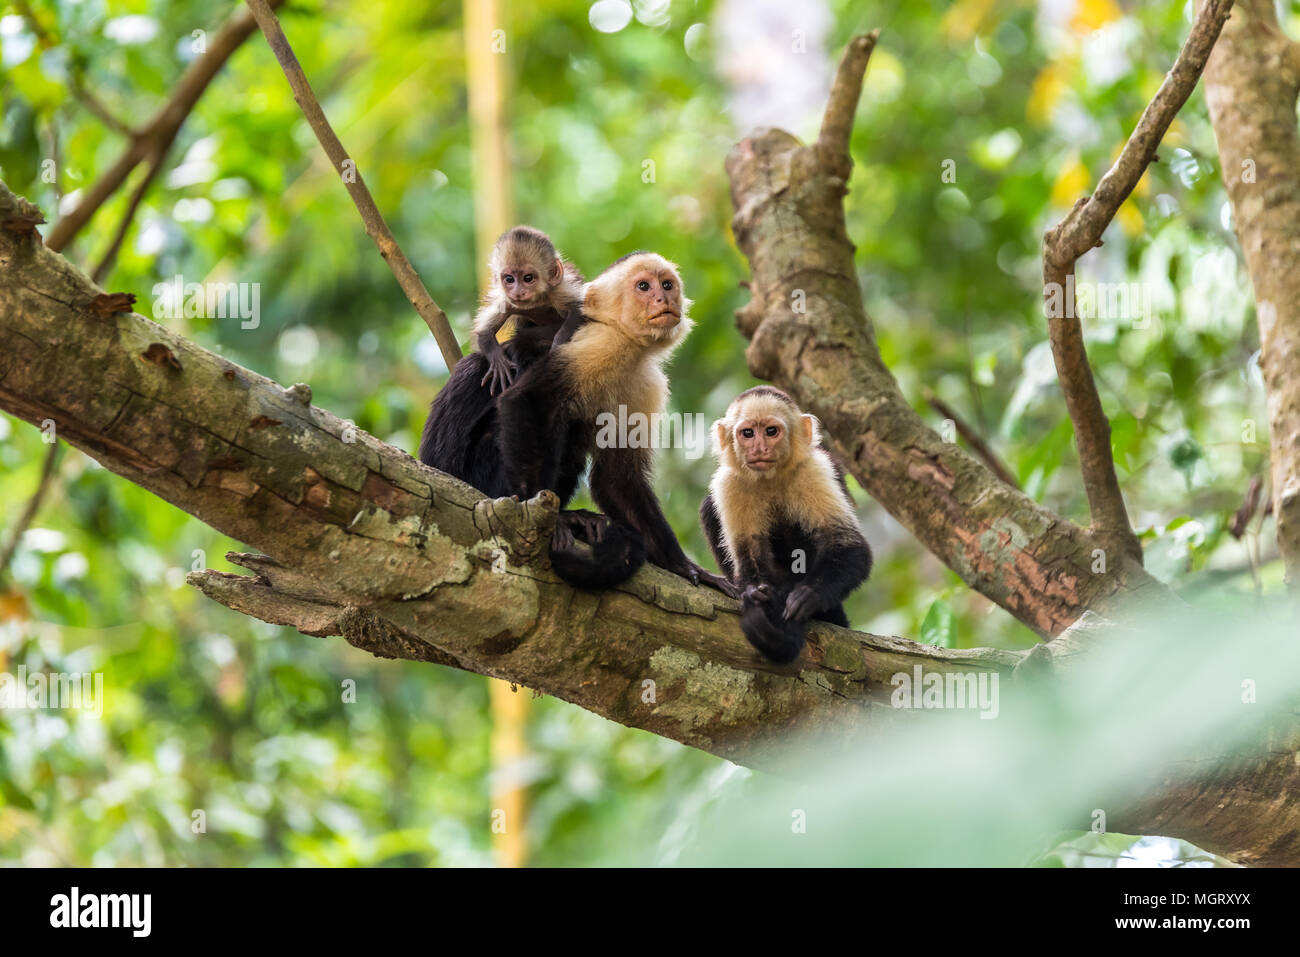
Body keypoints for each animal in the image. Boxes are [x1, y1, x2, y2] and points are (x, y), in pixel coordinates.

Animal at [494, 251, 734, 594]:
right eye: (644, 286)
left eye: (667, 285)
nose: (663, 298)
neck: (627, 345)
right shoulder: (594, 344)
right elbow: (527, 400)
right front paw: (544, 516)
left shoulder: (647, 385)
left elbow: (617, 478)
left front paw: (685, 566)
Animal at [699, 386, 872, 664]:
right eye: (748, 433)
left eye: (771, 431)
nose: (759, 448)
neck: (770, 478)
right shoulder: (729, 484)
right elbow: (749, 552)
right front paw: (755, 594)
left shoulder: (814, 470)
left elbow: (849, 546)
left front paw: (809, 594)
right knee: (708, 507)